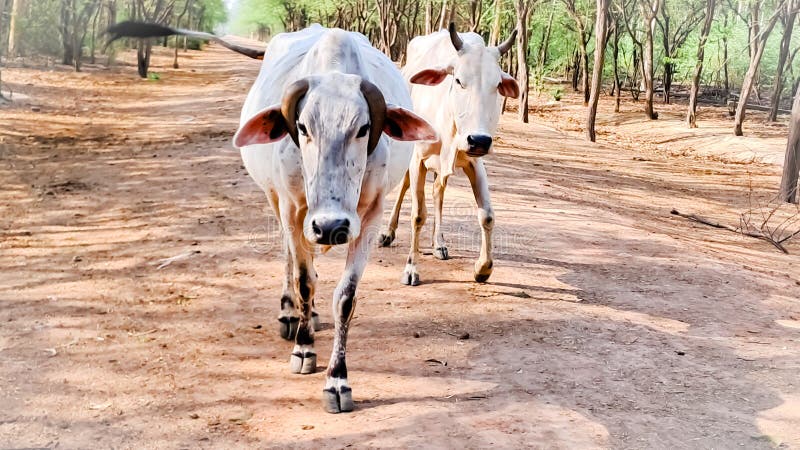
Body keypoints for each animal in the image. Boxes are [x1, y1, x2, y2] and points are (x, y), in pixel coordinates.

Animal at [107, 22, 438, 413]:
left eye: (362, 129)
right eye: (303, 127)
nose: (330, 226)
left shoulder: (369, 216)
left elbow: (345, 298)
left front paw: (337, 380)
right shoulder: (293, 209)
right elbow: (304, 280)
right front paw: (304, 348)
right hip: (276, 200)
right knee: (290, 258)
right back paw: (291, 314)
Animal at [378, 23, 519, 287]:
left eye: (497, 85)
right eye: (459, 80)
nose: (479, 140)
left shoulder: (475, 162)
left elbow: (487, 216)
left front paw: (483, 268)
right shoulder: (417, 160)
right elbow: (417, 215)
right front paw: (411, 269)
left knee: (438, 193)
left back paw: (438, 243)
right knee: (404, 187)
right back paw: (387, 233)